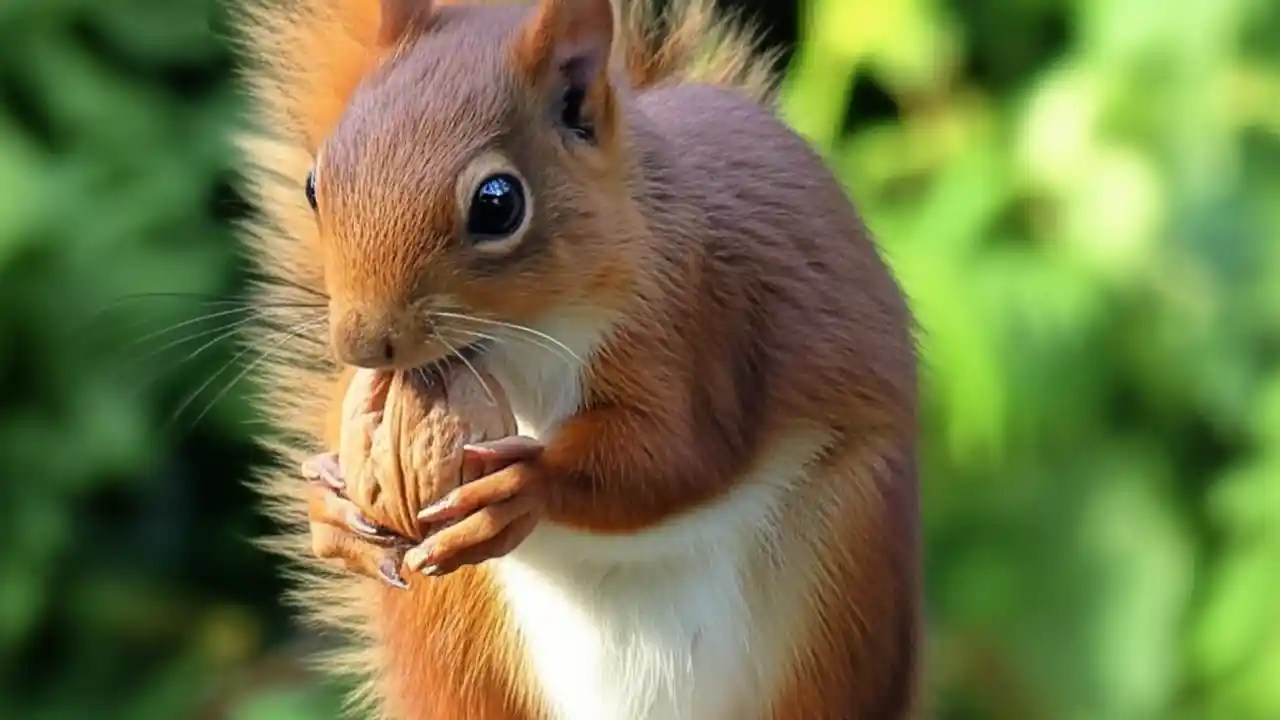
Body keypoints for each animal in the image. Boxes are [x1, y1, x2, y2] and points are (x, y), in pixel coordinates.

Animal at [234, 0, 921, 718]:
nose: (363, 343)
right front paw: (329, 505)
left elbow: (677, 455)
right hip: (452, 647)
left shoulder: (700, 324)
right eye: (314, 183)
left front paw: (522, 486)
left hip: (841, 594)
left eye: (498, 203)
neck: (522, 343)